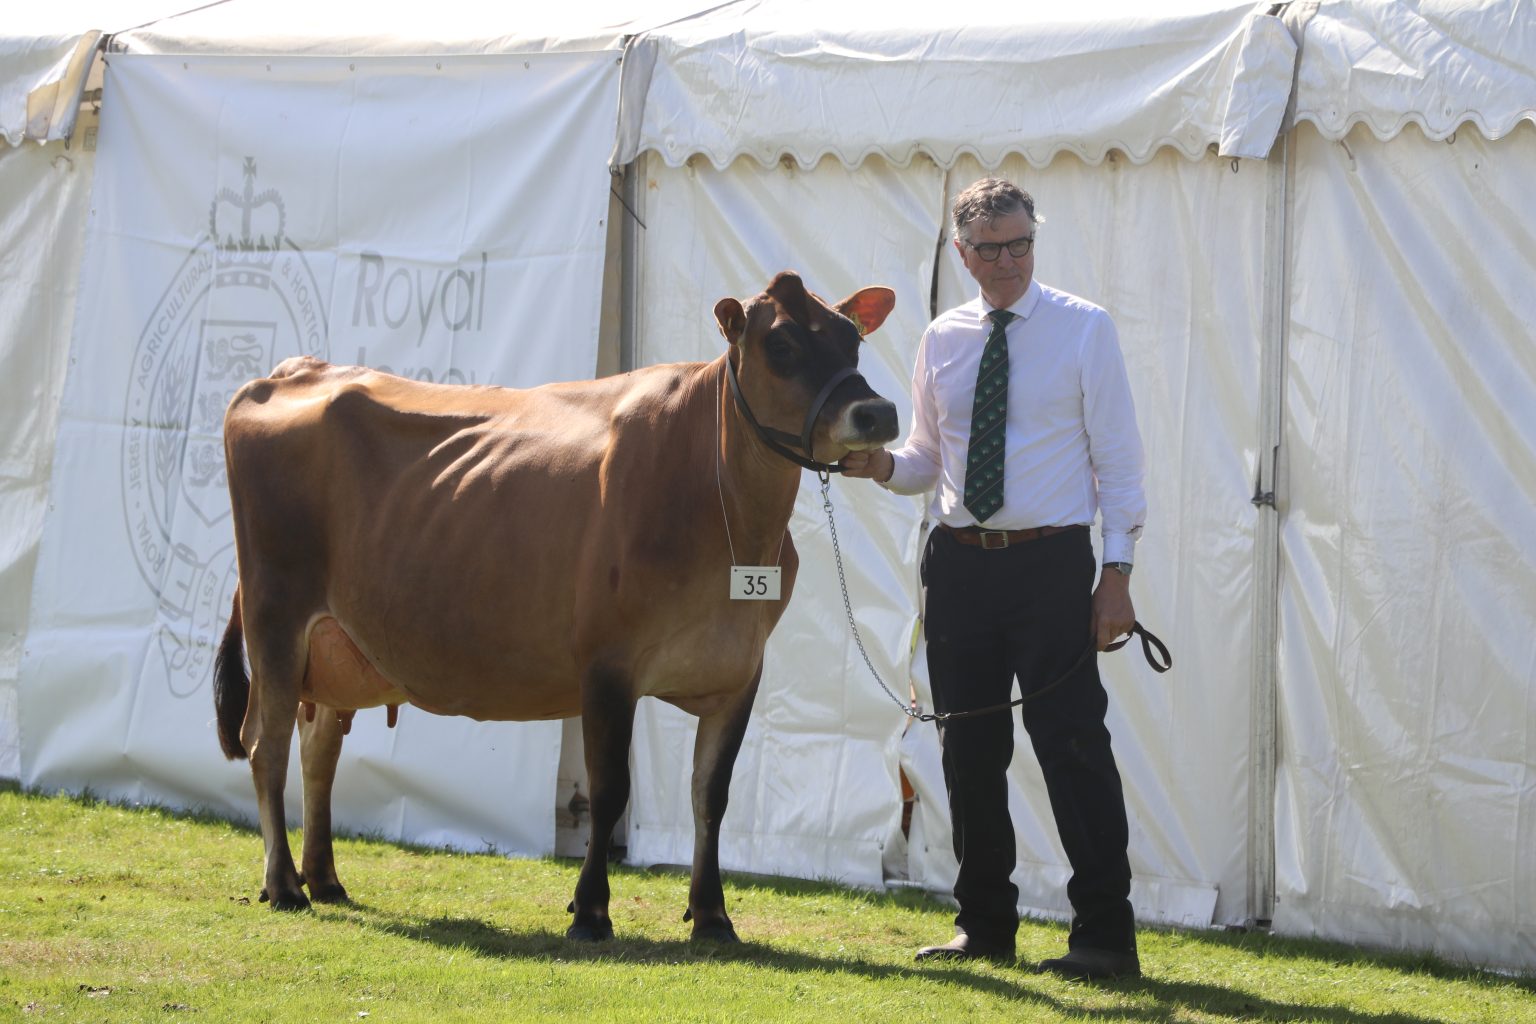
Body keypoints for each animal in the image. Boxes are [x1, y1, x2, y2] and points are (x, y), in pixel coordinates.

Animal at [213, 271, 898, 942]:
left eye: (852, 340)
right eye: (780, 344)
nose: (879, 411)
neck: (727, 515)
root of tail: (291, 371)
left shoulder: (740, 671)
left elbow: (711, 796)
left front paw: (711, 915)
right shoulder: (606, 663)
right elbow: (610, 789)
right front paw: (590, 911)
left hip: (337, 643)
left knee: (317, 748)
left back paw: (324, 879)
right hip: (275, 613)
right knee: (267, 743)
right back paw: (284, 886)